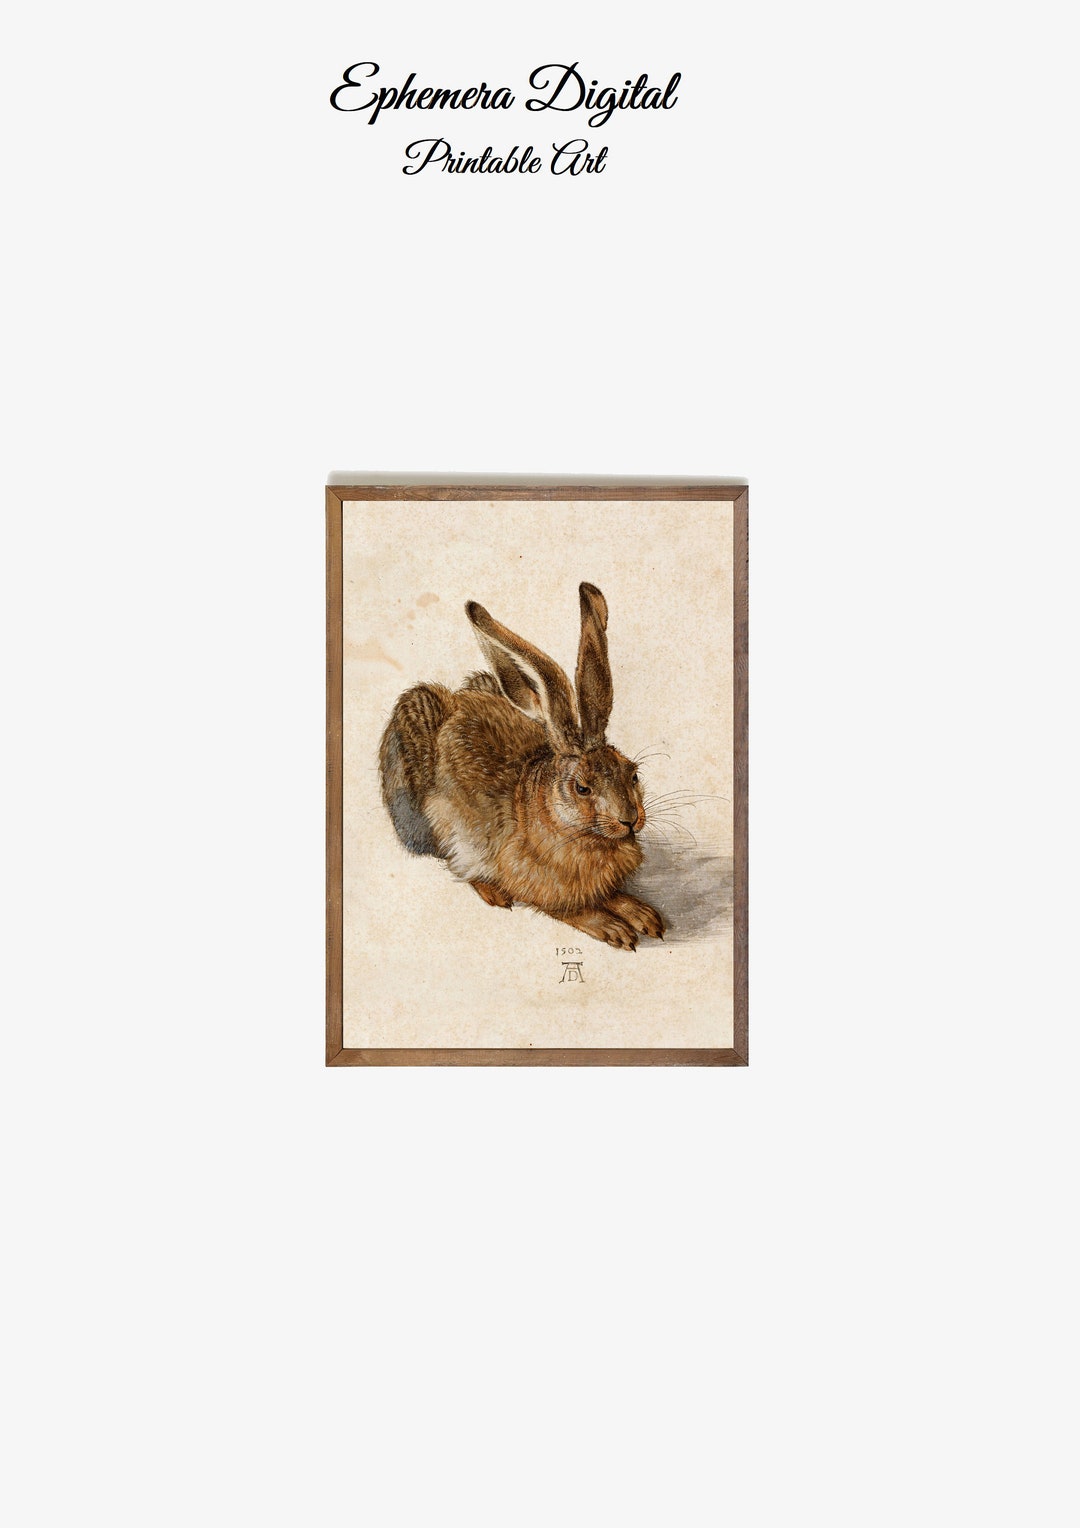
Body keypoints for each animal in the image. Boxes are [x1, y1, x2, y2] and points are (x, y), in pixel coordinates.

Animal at [378, 582, 665, 951]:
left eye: (633, 774)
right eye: (582, 788)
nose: (629, 820)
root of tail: (457, 701)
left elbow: (611, 895)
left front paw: (644, 915)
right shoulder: (535, 882)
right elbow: (571, 909)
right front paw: (614, 927)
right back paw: (492, 891)